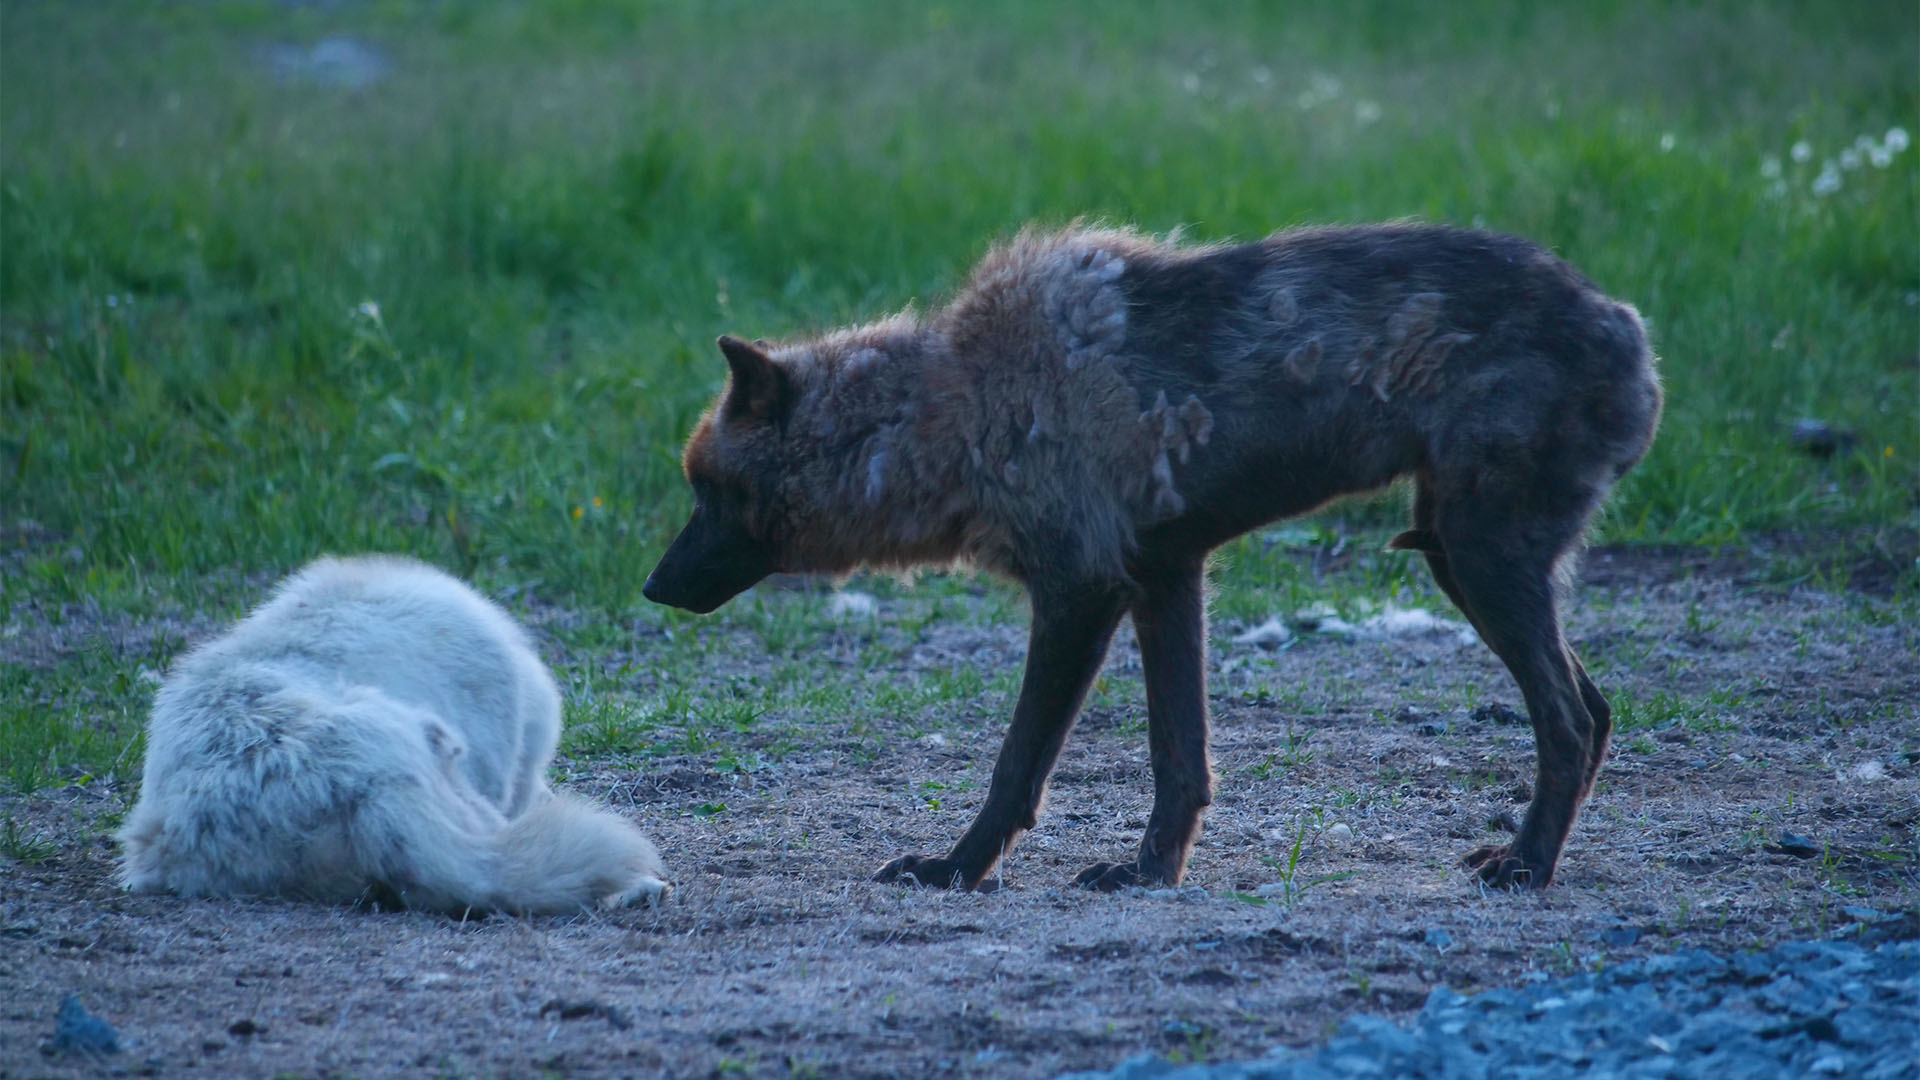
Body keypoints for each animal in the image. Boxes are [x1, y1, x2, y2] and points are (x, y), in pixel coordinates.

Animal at [644, 223, 1661, 892]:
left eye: (709, 494)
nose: (652, 587)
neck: (954, 404)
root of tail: (1625, 320)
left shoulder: (1080, 594)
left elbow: (1016, 769)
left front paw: (957, 869)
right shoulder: (1165, 581)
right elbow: (1181, 764)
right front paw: (1150, 874)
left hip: (1483, 565)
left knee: (1569, 721)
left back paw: (1528, 865)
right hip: (1463, 562)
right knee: (1599, 712)